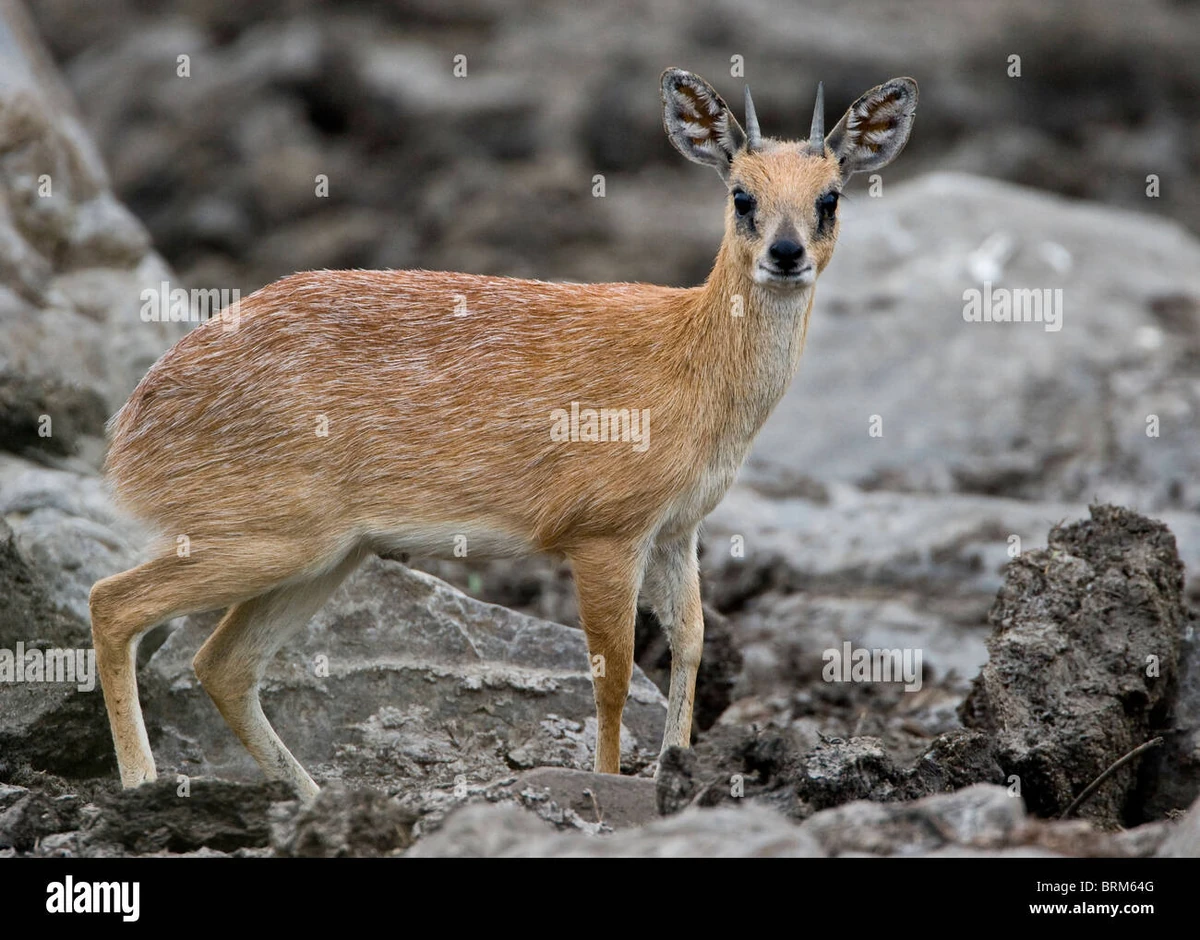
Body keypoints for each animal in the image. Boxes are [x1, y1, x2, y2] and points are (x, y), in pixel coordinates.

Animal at [90, 68, 917, 801]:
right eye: (741, 195)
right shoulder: (602, 535)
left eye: (831, 197)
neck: (691, 362)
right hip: (265, 537)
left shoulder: (676, 531)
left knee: (221, 663)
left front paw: (675, 772)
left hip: (325, 554)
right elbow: (615, 674)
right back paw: (141, 785)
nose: (786, 254)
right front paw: (611, 786)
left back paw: (313, 797)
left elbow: (690, 642)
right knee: (113, 603)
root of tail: (129, 424)